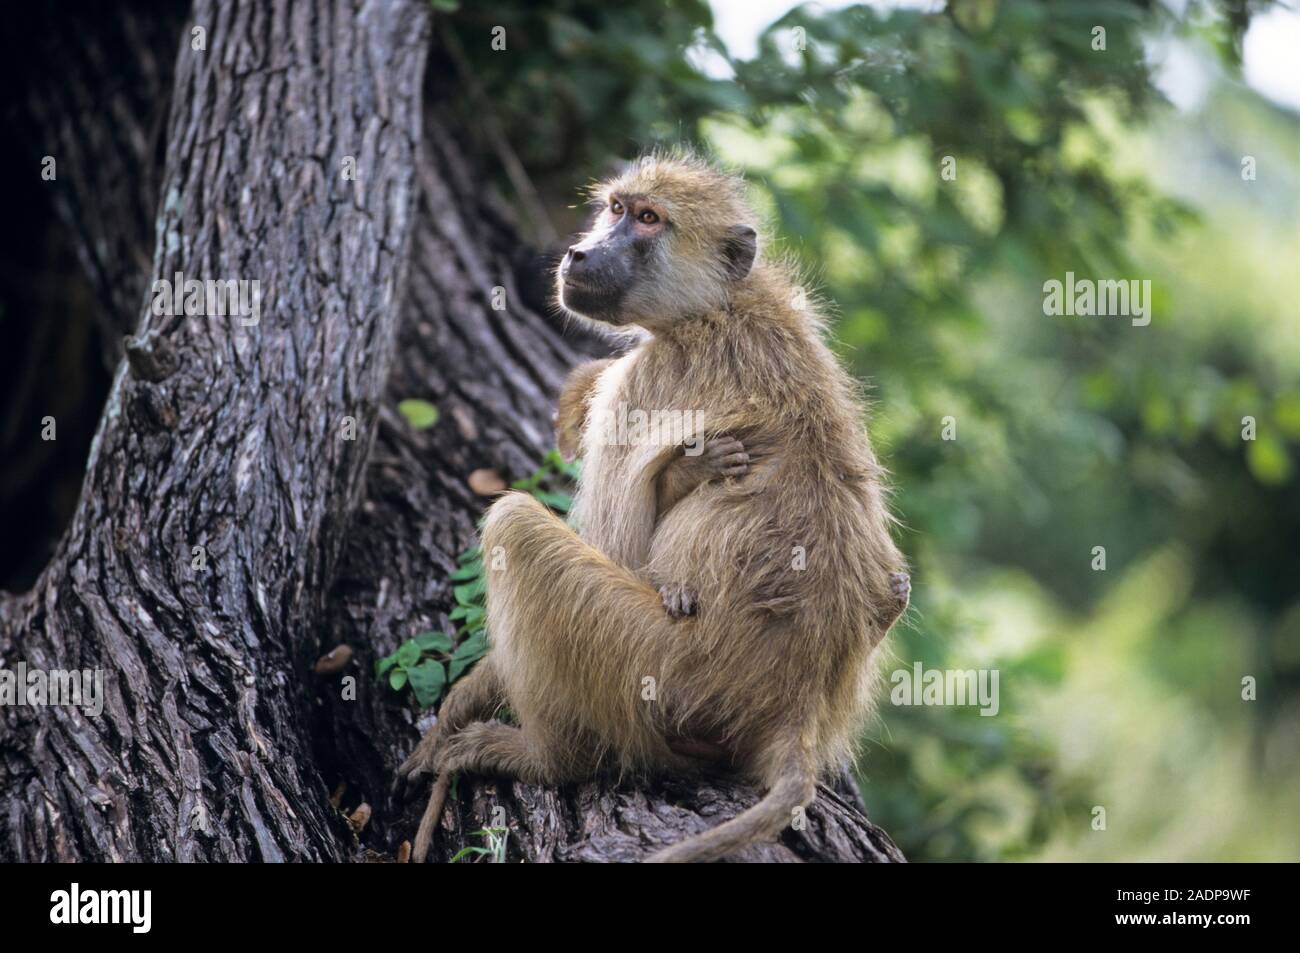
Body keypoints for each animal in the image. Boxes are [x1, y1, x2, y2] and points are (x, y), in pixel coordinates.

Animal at [396, 151, 910, 863]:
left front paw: (455, 709)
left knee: (516, 526)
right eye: (615, 208)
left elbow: (618, 547)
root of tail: (796, 699)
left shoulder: (641, 381)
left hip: (656, 669)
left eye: (647, 219)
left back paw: (546, 759)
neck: (721, 305)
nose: (580, 253)